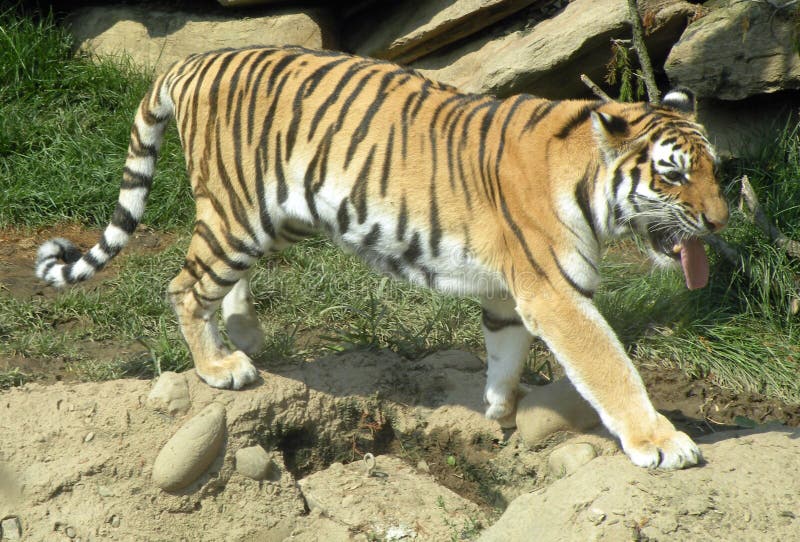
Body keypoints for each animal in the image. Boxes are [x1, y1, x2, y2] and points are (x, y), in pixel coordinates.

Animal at [35, 46, 728, 470]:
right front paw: (662, 443)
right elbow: (612, 370)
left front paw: (499, 413)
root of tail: (193, 61)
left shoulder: (510, 294)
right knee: (185, 286)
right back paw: (220, 367)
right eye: (672, 175)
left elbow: (504, 353)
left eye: (714, 170)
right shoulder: (556, 293)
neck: (587, 179)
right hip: (238, 212)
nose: (721, 222)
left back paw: (246, 334)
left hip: (277, 217)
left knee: (220, 282)